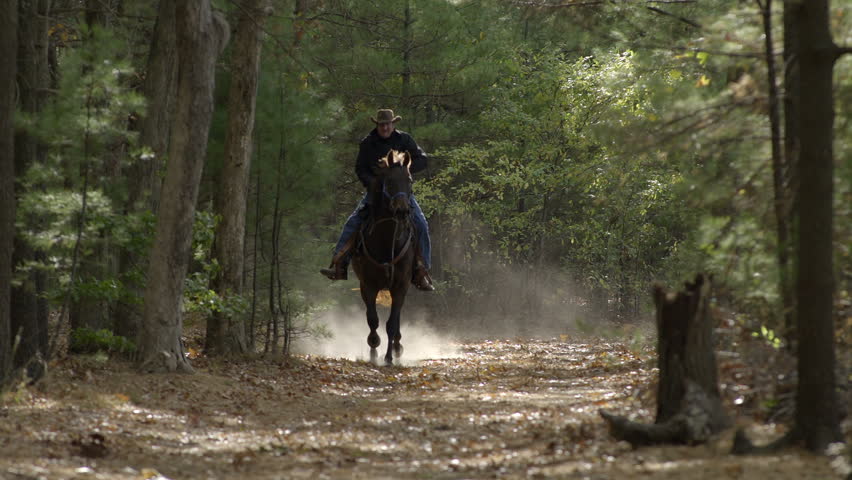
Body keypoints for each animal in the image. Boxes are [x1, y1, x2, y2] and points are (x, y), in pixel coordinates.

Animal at [350, 149, 417, 365]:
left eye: (409, 180)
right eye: (389, 181)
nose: (402, 210)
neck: (387, 241)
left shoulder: (401, 285)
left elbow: (392, 323)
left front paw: (389, 356)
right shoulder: (368, 285)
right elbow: (373, 319)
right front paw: (373, 347)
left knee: (397, 318)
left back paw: (397, 347)